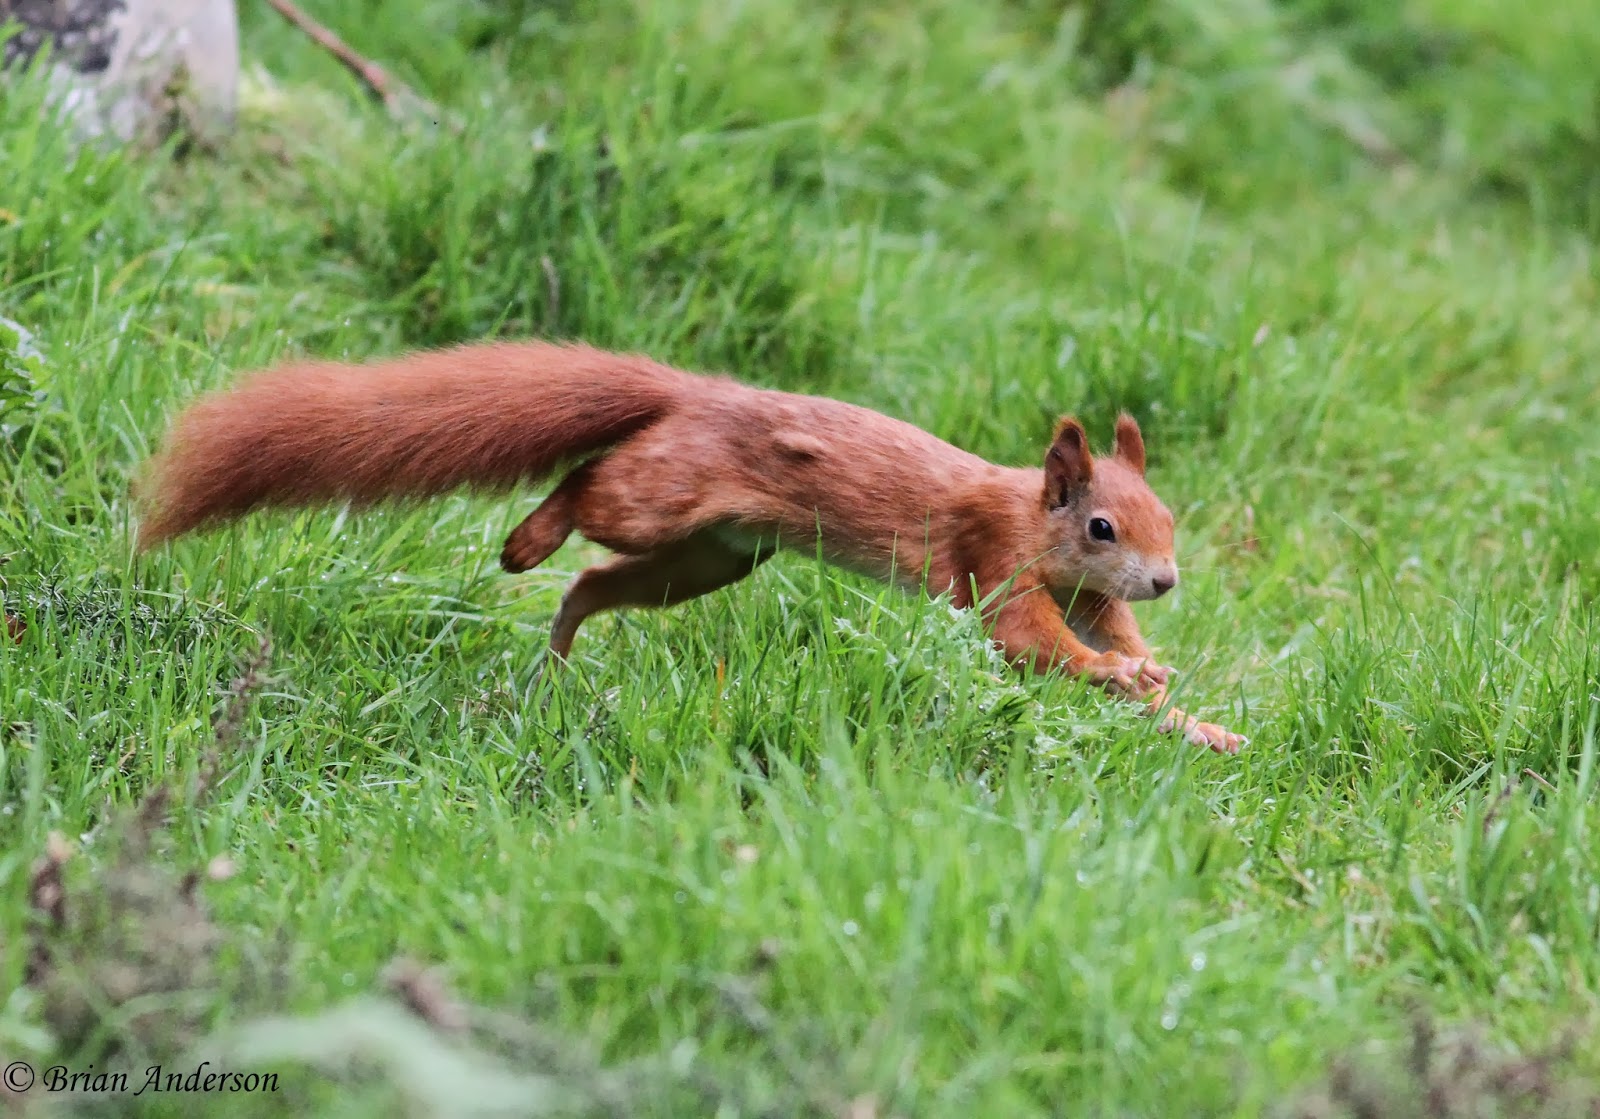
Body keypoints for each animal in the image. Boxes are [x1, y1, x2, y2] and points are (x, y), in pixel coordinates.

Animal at [135, 340, 1245, 754]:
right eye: (1101, 524)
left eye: (1166, 519)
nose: (1165, 578)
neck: (1037, 519)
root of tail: (694, 394)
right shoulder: (997, 563)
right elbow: (1030, 643)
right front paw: (1130, 678)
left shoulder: (1091, 597)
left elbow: (1112, 649)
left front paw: (1181, 704)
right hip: (657, 498)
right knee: (588, 488)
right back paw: (526, 539)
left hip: (710, 559)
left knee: (595, 582)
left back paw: (560, 646)